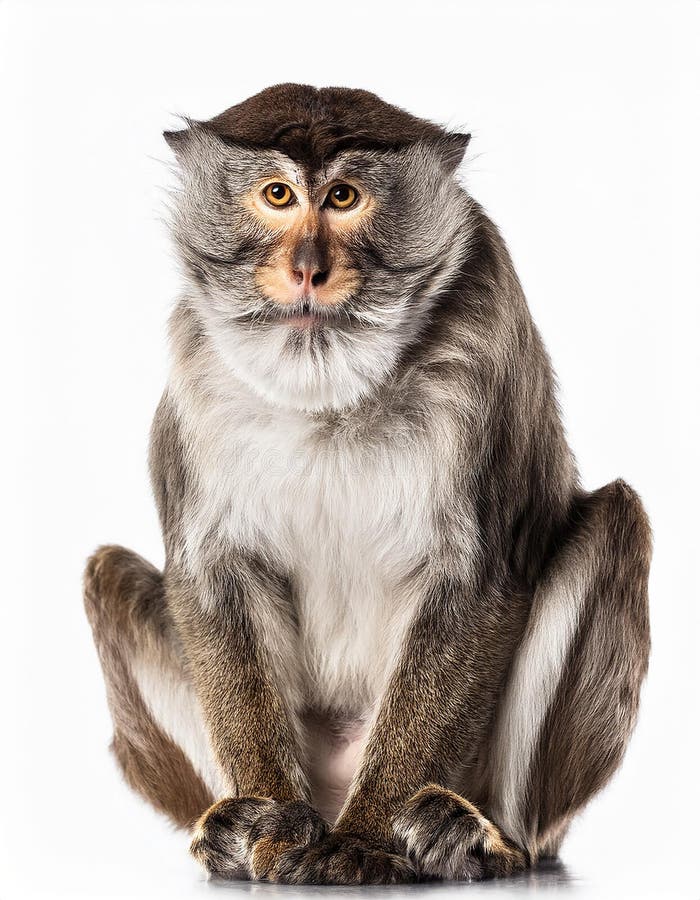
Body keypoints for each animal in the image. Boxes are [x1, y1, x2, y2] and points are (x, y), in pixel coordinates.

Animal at [83, 83, 651, 885]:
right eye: (278, 195)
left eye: (345, 197)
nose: (307, 269)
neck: (333, 398)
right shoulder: (197, 381)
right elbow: (214, 575)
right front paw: (267, 824)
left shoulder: (485, 356)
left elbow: (476, 581)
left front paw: (368, 838)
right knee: (107, 576)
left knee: (614, 521)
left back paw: (490, 837)